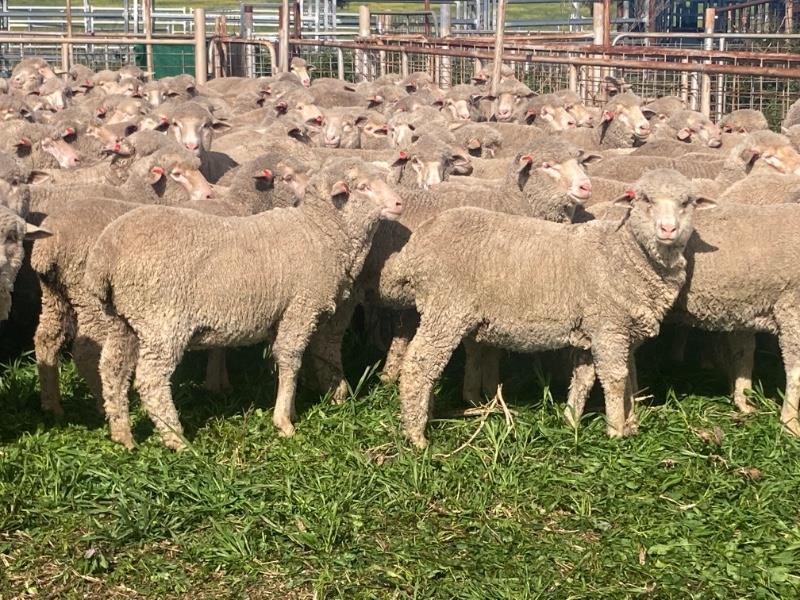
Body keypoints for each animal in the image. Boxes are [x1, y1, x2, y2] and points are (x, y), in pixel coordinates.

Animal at [388, 169, 714, 447]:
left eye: (687, 202)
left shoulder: (600, 331)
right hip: (447, 309)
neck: (625, 253)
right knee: (419, 364)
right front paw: (617, 431)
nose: (668, 228)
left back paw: (423, 416)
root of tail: (416, 244)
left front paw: (575, 421)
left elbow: (592, 377)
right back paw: (417, 436)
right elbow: (616, 377)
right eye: (644, 199)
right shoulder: (609, 327)